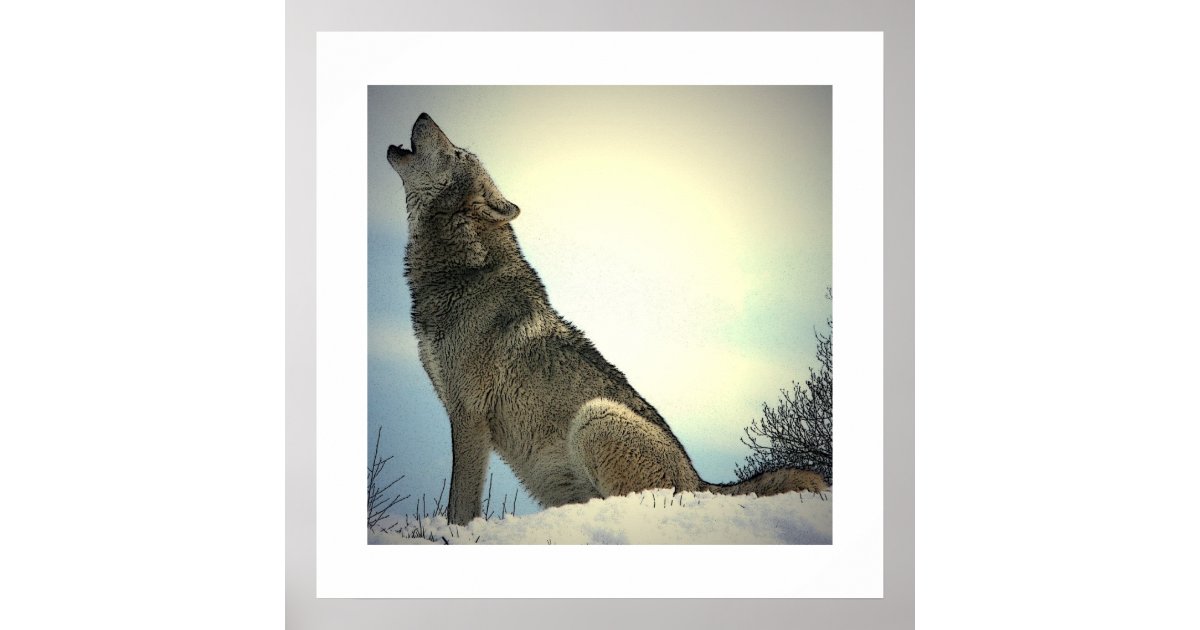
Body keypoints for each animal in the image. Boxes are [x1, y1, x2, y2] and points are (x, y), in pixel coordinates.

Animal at [387, 113, 828, 525]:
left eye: (457, 153)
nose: (423, 115)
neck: (463, 271)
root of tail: (700, 482)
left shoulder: (469, 415)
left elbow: (459, 504)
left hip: (594, 417)